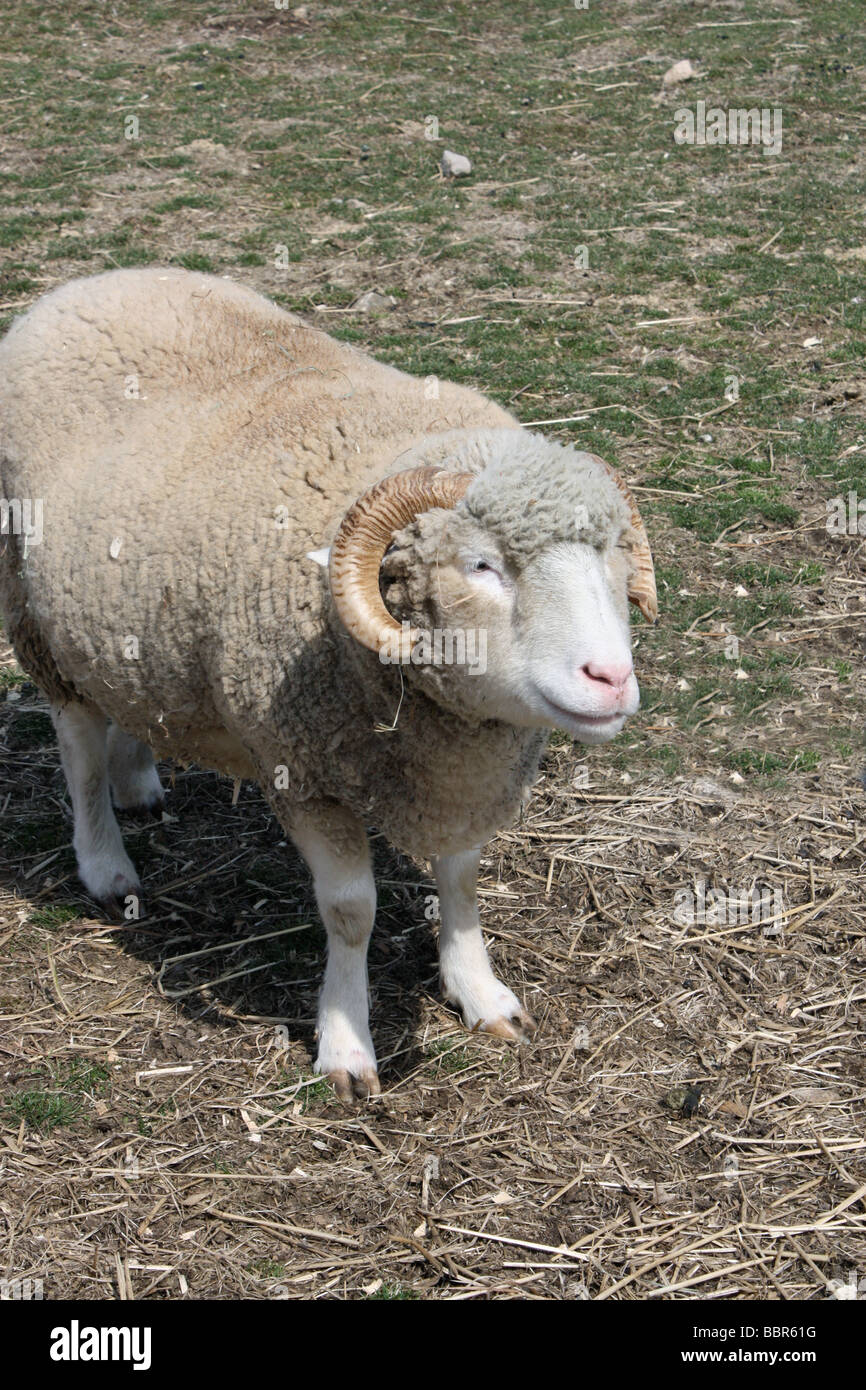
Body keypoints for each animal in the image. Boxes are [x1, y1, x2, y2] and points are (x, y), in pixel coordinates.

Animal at [0, 267, 657, 1099]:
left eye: (611, 555)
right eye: (481, 565)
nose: (611, 678)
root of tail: (89, 283)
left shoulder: (464, 779)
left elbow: (463, 879)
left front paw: (479, 991)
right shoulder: (300, 770)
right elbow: (351, 912)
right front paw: (346, 1042)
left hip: (117, 617)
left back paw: (138, 780)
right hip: (30, 602)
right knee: (78, 741)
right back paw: (105, 862)